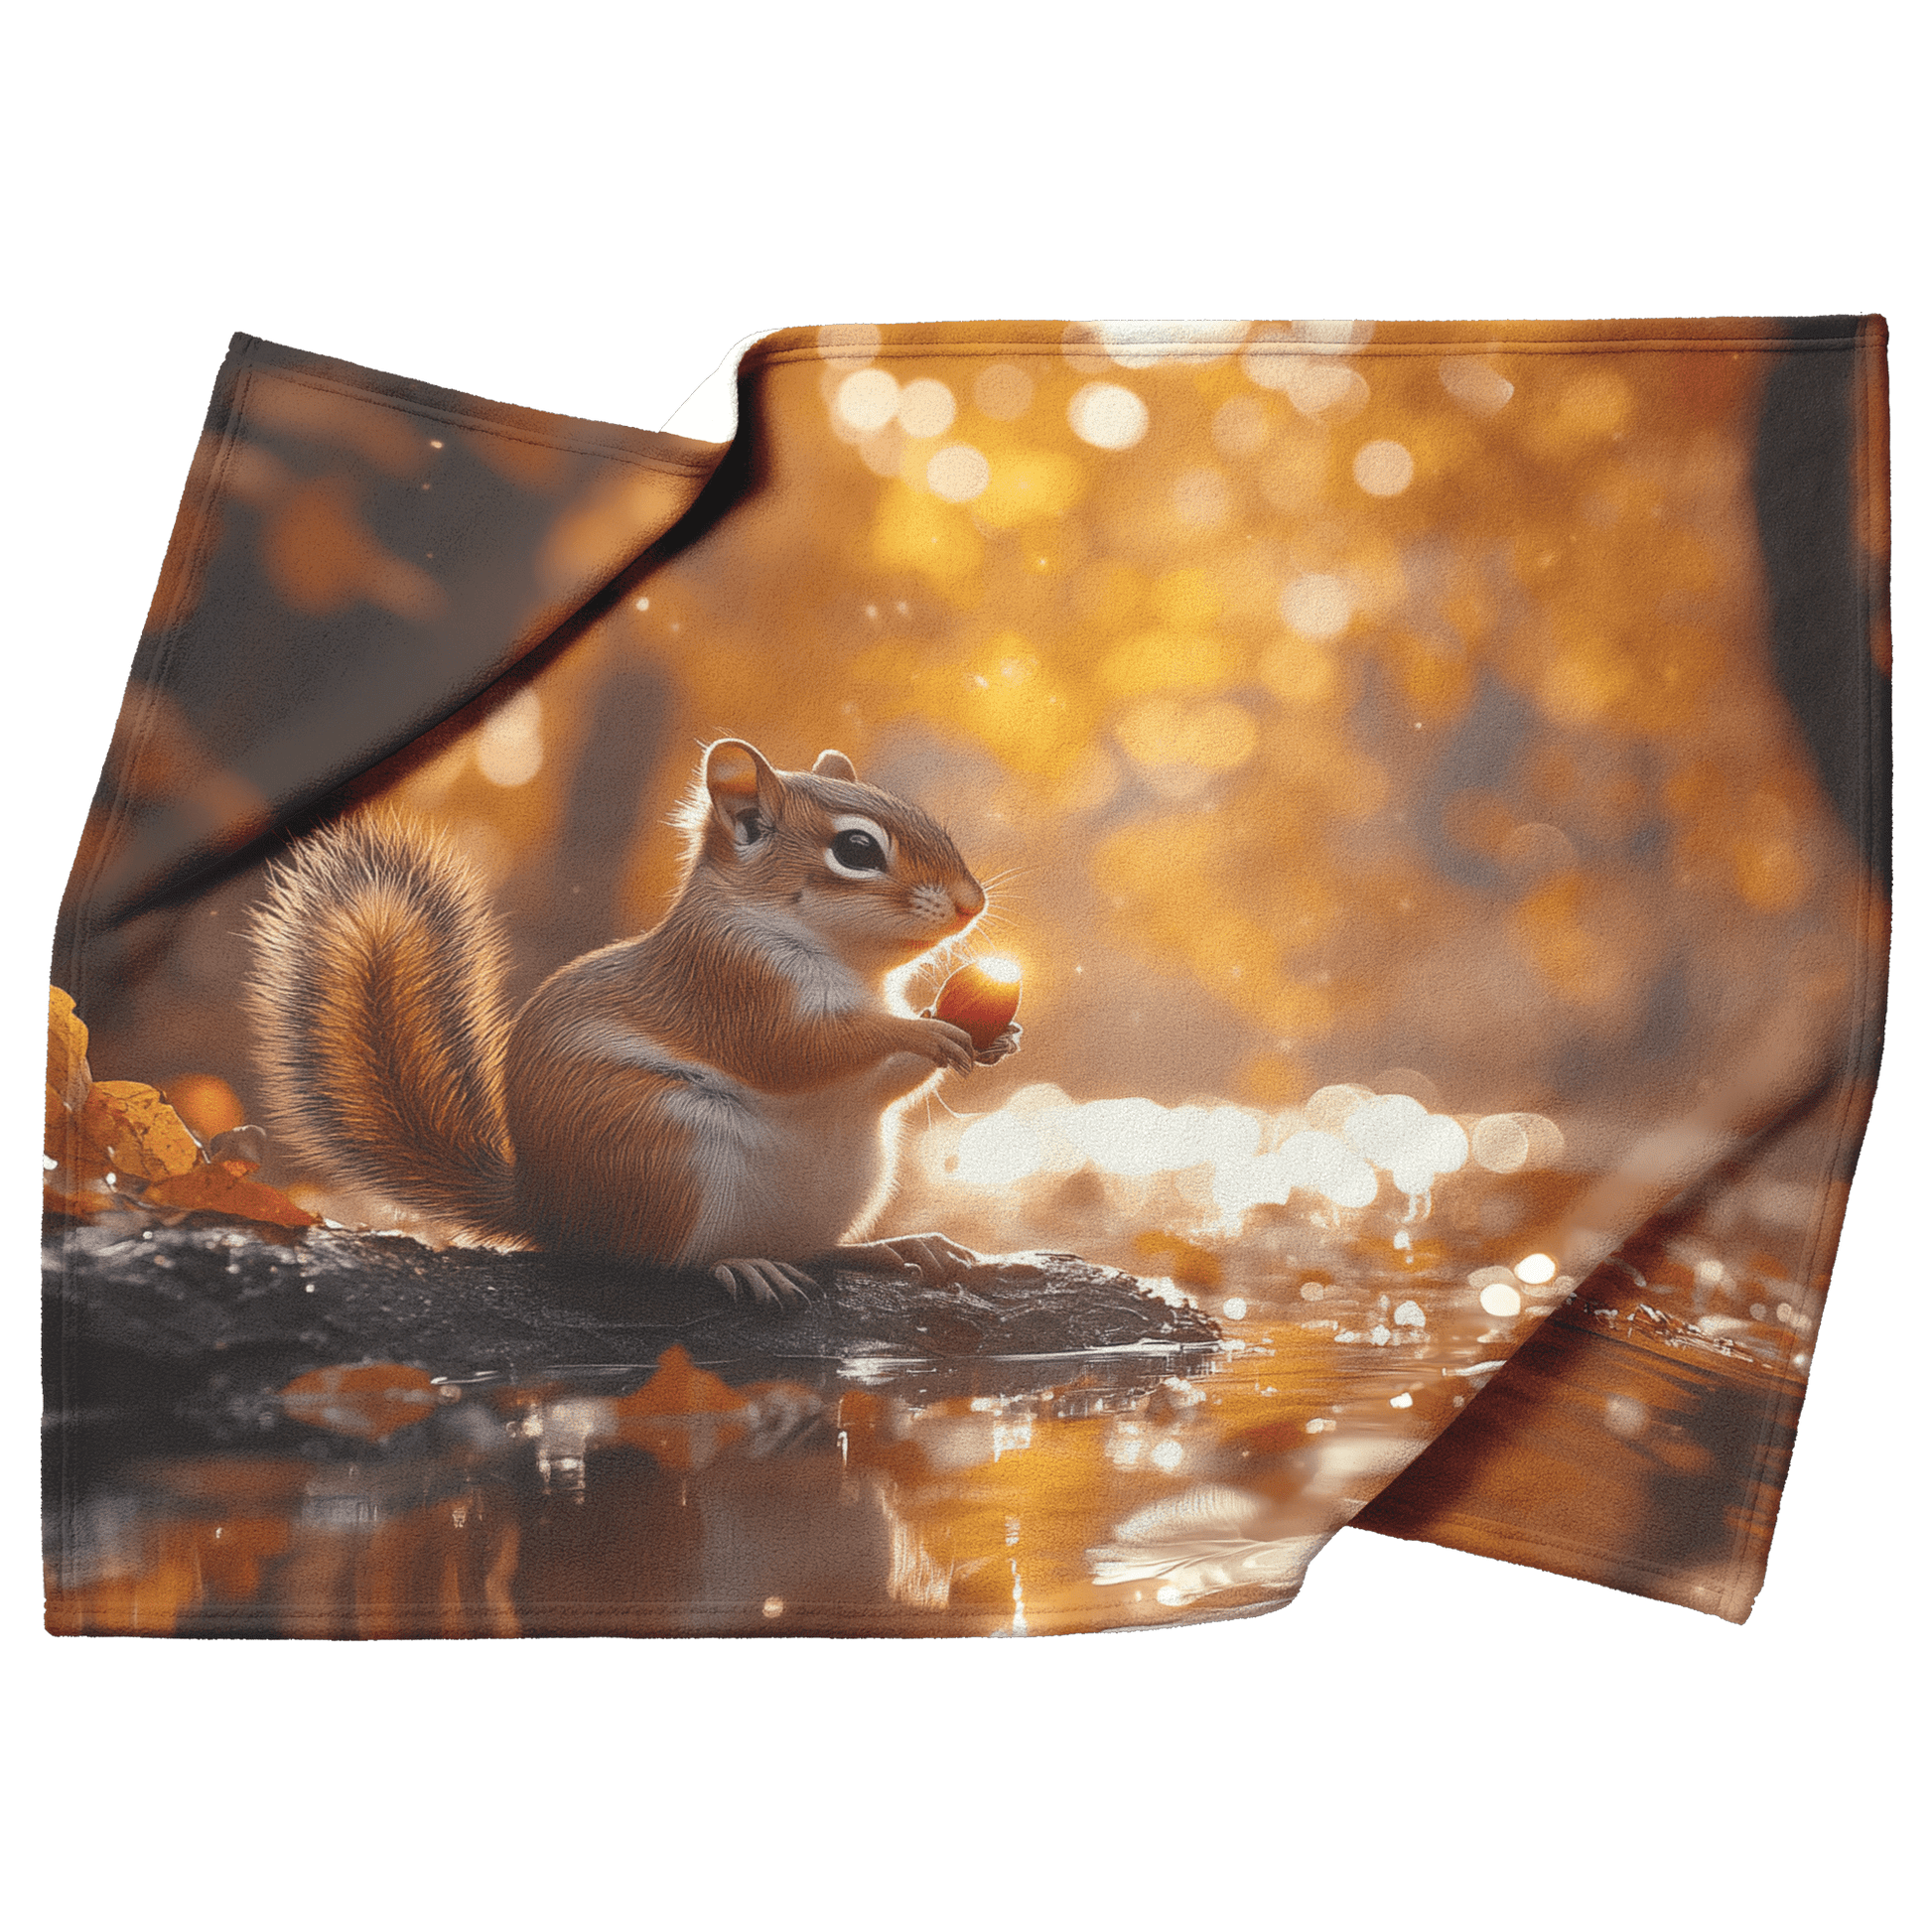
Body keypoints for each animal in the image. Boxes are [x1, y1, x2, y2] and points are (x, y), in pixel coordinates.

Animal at [248, 739, 1020, 1306]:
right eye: (857, 850)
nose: (971, 902)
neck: (848, 961)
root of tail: (549, 1212)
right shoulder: (729, 986)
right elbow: (798, 1050)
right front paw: (921, 1030)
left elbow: (877, 1082)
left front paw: (990, 1037)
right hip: (662, 1156)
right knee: (651, 1261)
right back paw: (736, 1266)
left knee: (813, 1249)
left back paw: (891, 1248)